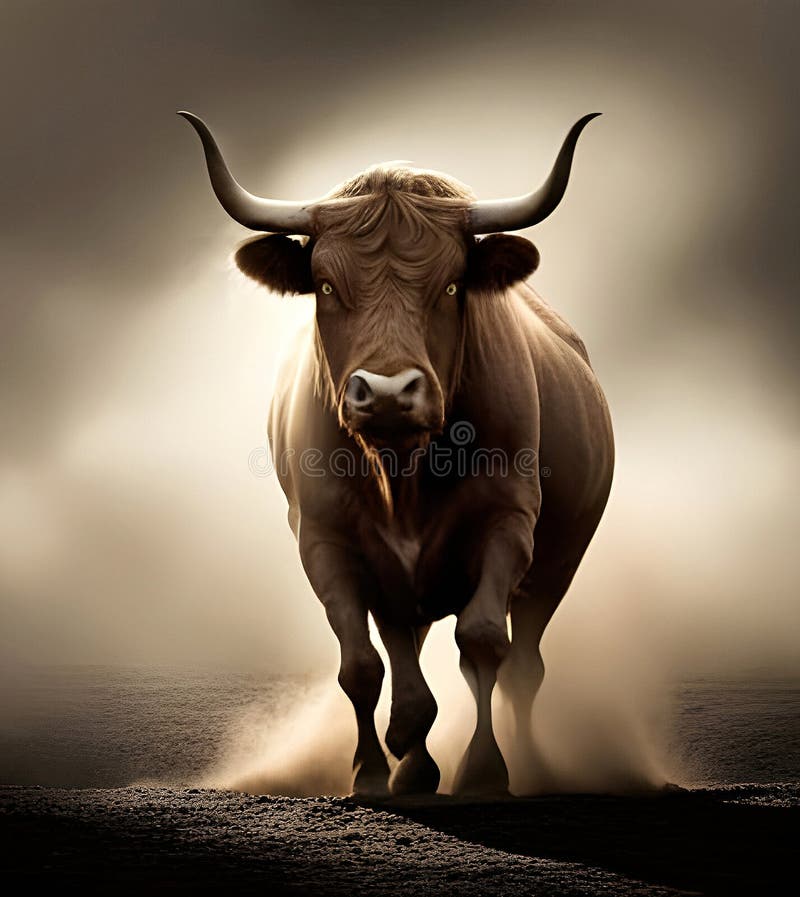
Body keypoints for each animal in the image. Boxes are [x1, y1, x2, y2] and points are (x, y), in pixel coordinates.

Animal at [180, 111, 614, 797]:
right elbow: (360, 664)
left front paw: (485, 772)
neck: (403, 474)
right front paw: (371, 771)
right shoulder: (325, 540)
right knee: (404, 646)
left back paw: (524, 764)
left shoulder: (509, 524)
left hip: (557, 564)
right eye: (326, 285)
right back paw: (412, 756)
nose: (386, 393)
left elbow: (483, 641)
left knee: (524, 663)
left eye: (453, 284)